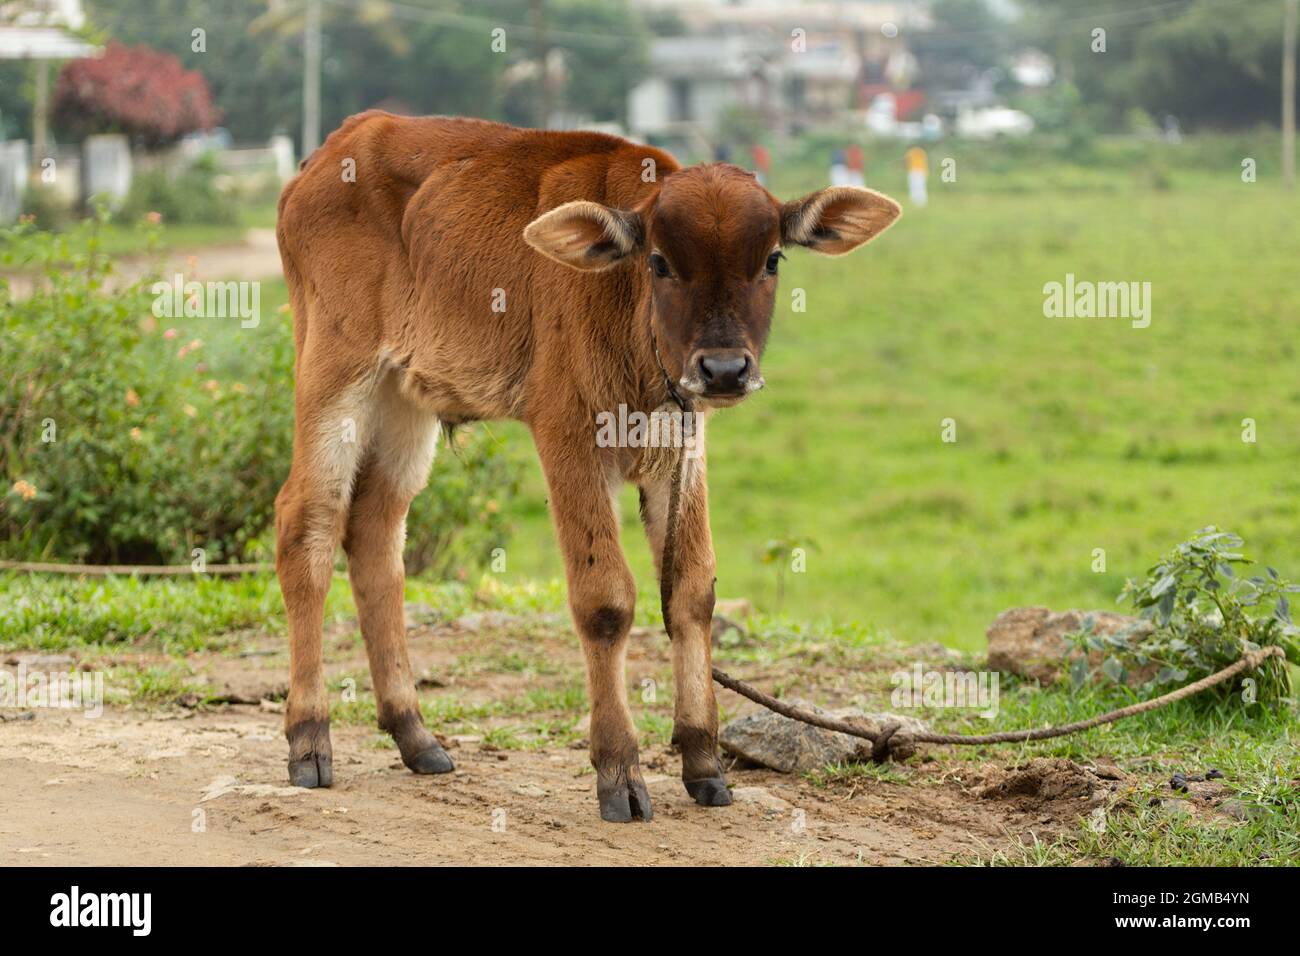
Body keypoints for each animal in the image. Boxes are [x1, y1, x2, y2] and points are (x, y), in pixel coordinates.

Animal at [274, 112, 900, 822]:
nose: (723, 370)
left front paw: (704, 761)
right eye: (659, 261)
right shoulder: (567, 435)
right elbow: (606, 601)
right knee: (307, 527)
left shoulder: (683, 450)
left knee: (376, 536)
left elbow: (691, 591)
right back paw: (309, 737)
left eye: (771, 259)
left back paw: (414, 733)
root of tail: (332, 150)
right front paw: (620, 770)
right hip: (335, 375)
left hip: (404, 401)